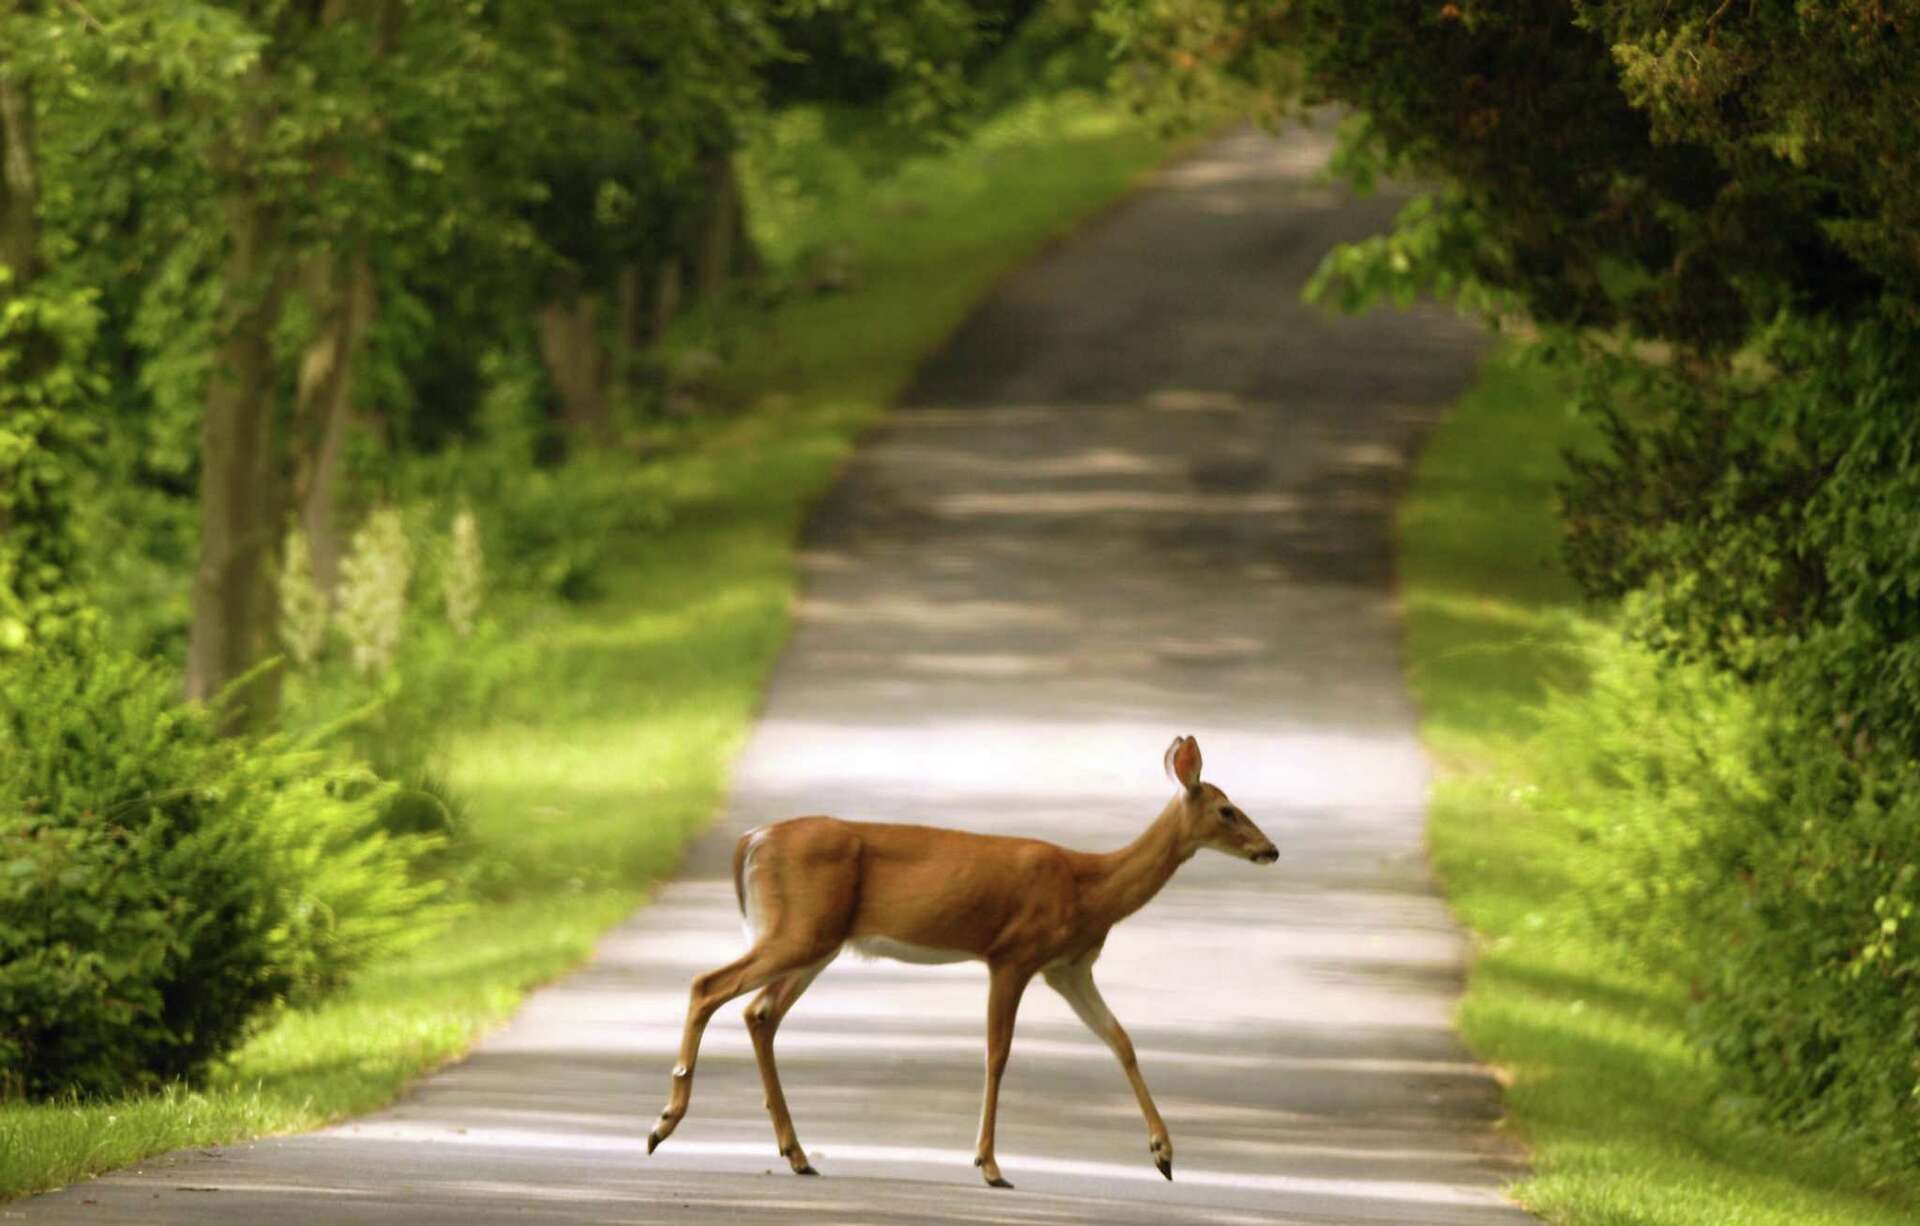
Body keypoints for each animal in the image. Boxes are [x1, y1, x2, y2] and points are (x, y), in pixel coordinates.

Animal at [643, 734, 1278, 1189]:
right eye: (1227, 810)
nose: (1269, 849)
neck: (1090, 887)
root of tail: (750, 840)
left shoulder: (1069, 968)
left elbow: (1121, 1040)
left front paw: (1164, 1154)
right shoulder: (1013, 953)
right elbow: (997, 1054)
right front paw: (989, 1165)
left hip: (815, 942)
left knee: (759, 1013)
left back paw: (796, 1153)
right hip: (798, 930)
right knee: (708, 984)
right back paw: (662, 1124)